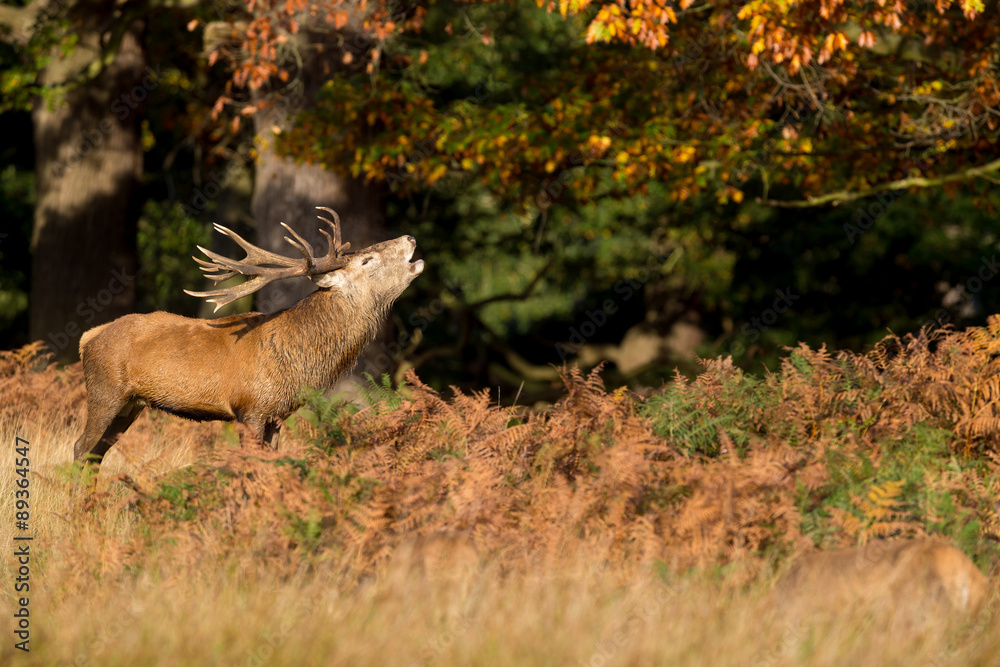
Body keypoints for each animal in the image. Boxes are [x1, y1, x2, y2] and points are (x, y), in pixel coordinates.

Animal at [73, 207, 423, 465]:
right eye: (367, 260)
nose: (410, 237)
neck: (300, 364)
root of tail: (88, 337)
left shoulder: (278, 416)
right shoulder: (249, 408)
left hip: (131, 404)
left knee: (96, 454)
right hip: (105, 390)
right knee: (80, 448)